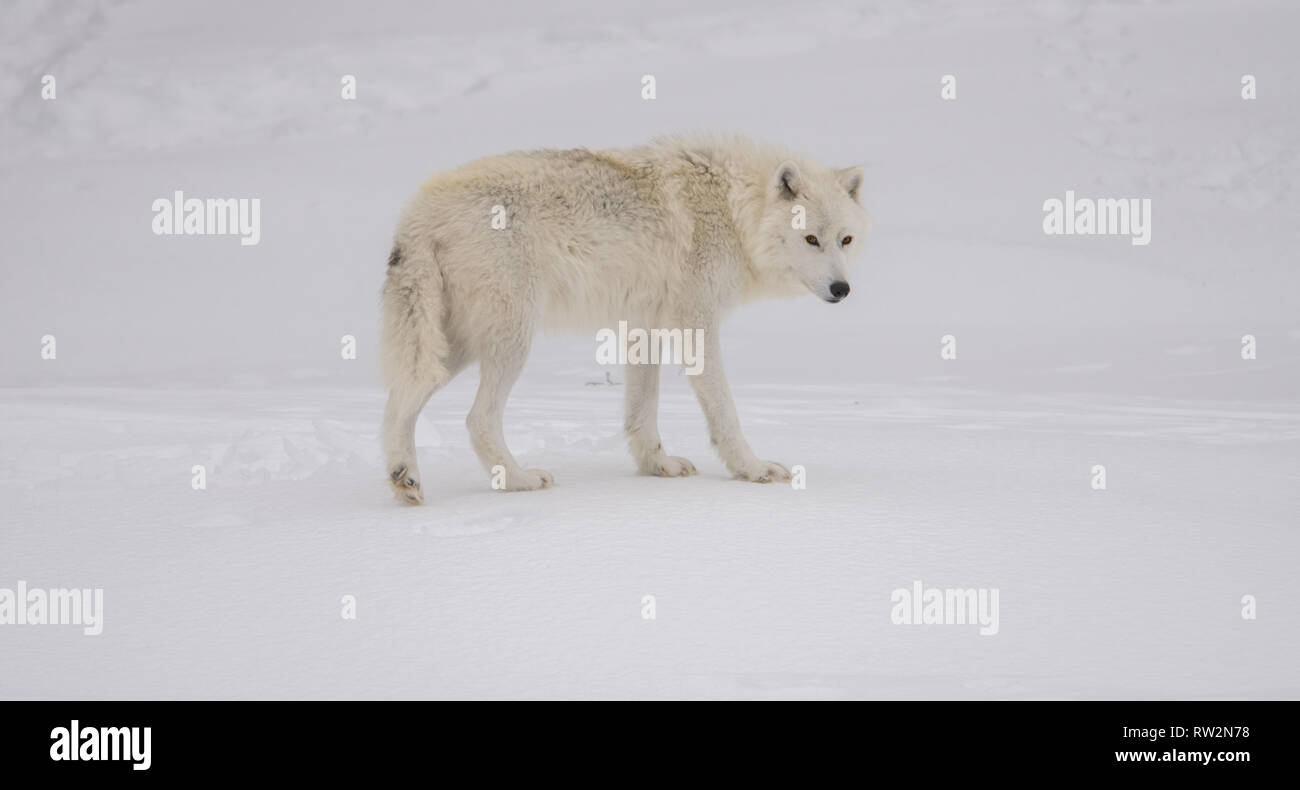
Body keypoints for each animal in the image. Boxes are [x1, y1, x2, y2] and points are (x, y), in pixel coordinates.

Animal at [381, 134, 869, 504]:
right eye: (810, 239)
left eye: (845, 240)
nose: (841, 289)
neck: (734, 210)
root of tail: (418, 213)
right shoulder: (695, 326)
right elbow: (725, 412)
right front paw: (753, 469)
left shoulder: (643, 327)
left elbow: (641, 413)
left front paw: (658, 466)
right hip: (509, 341)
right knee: (477, 419)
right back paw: (519, 480)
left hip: (450, 348)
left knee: (397, 404)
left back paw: (405, 481)